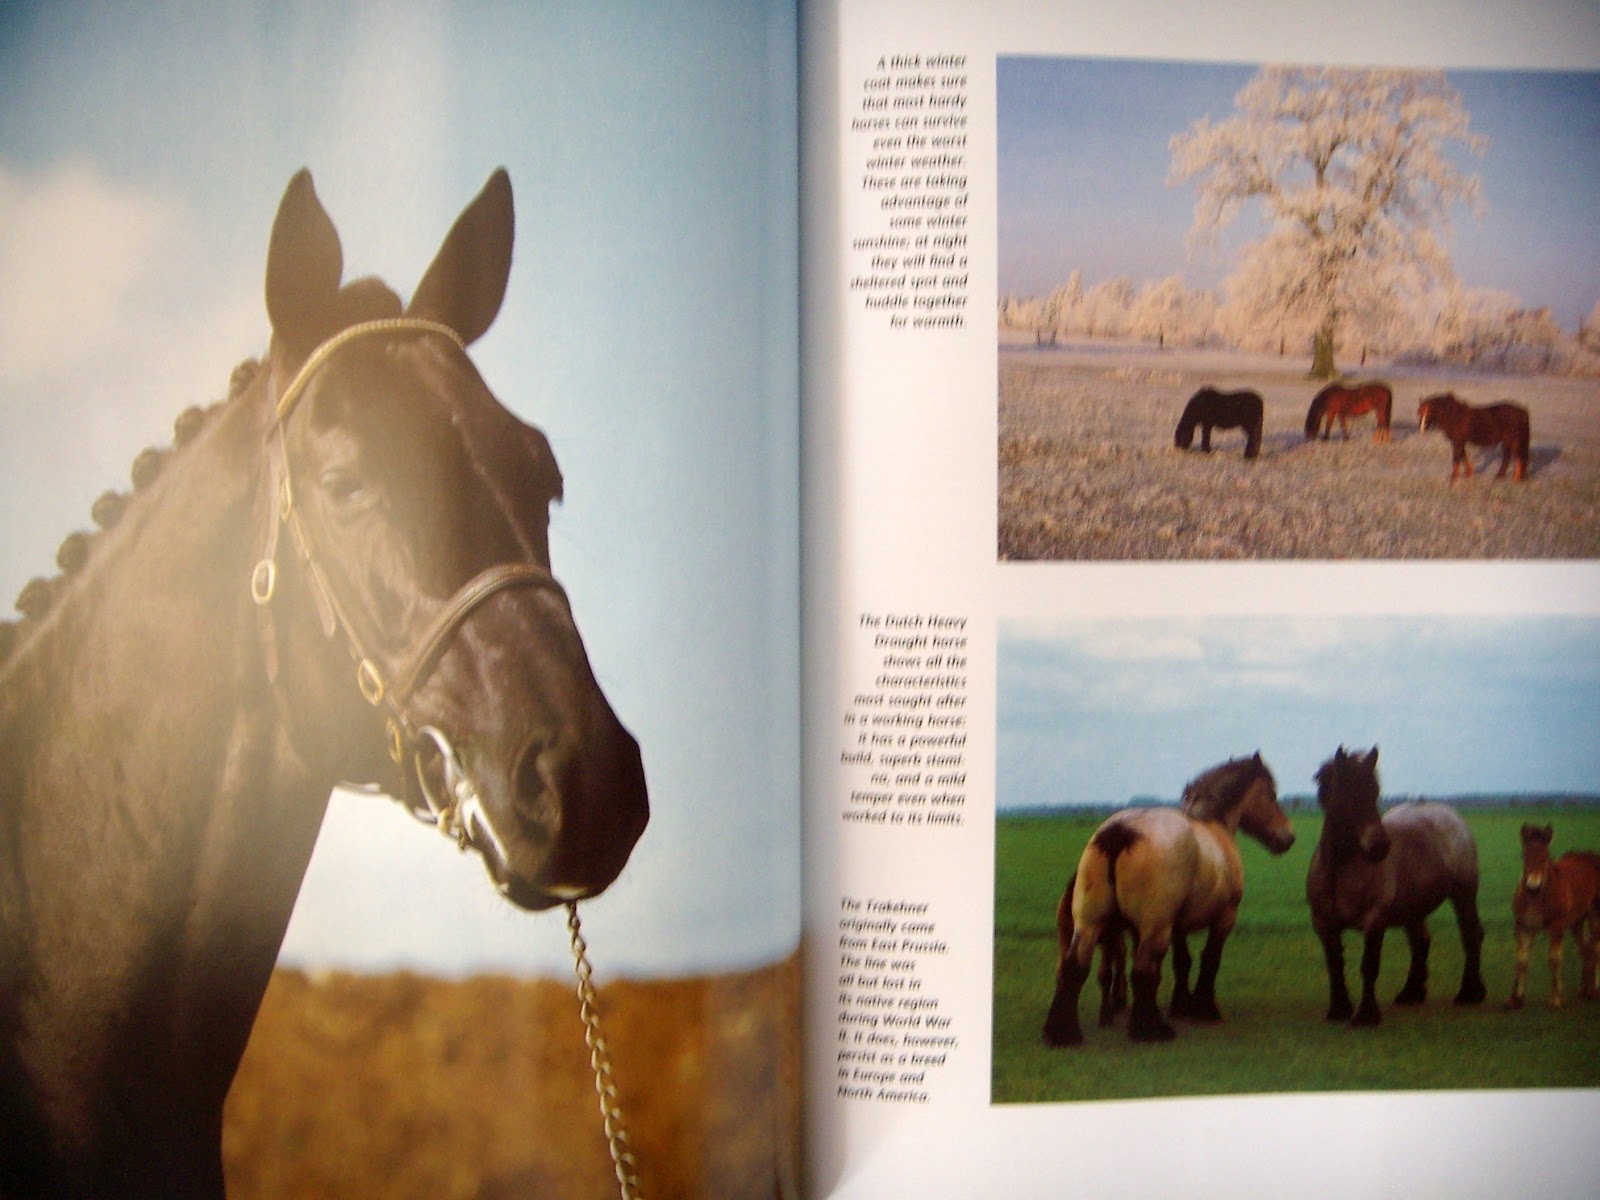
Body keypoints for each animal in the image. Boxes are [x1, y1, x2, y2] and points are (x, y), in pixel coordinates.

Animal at [1042, 752, 1294, 1046]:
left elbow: (1181, 962)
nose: (1288, 837)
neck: (1213, 824)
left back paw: (1063, 1033)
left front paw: (1181, 1006)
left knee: (1074, 966)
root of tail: (1120, 832)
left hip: (1090, 923)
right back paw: (1151, 1029)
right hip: (1154, 926)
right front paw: (1204, 1009)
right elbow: (1210, 959)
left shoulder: (1176, 926)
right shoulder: (1225, 917)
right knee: (1142, 969)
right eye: (1272, 794)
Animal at [1305, 748, 1486, 1027]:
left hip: (1463, 895)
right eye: (1347, 792)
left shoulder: (1375, 920)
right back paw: (1411, 993)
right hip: (1414, 910)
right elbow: (1335, 964)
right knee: (1421, 941)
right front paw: (1339, 1010)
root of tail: (1450, 816)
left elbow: (1369, 965)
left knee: (1471, 934)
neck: (1339, 870)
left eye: (1375, 791)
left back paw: (1469, 993)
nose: (1379, 847)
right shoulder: (1324, 924)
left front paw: (1366, 1015)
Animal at [1508, 823, 1600, 1010]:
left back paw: (1594, 990)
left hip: (1595, 915)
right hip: (1577, 921)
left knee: (1595, 949)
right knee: (1585, 949)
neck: (1537, 899)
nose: (1532, 887)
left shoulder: (1557, 926)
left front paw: (1556, 999)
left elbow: (1554, 959)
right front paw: (1516, 999)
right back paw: (1583, 990)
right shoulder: (1524, 926)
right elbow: (1521, 960)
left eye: (1546, 857)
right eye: (1524, 855)